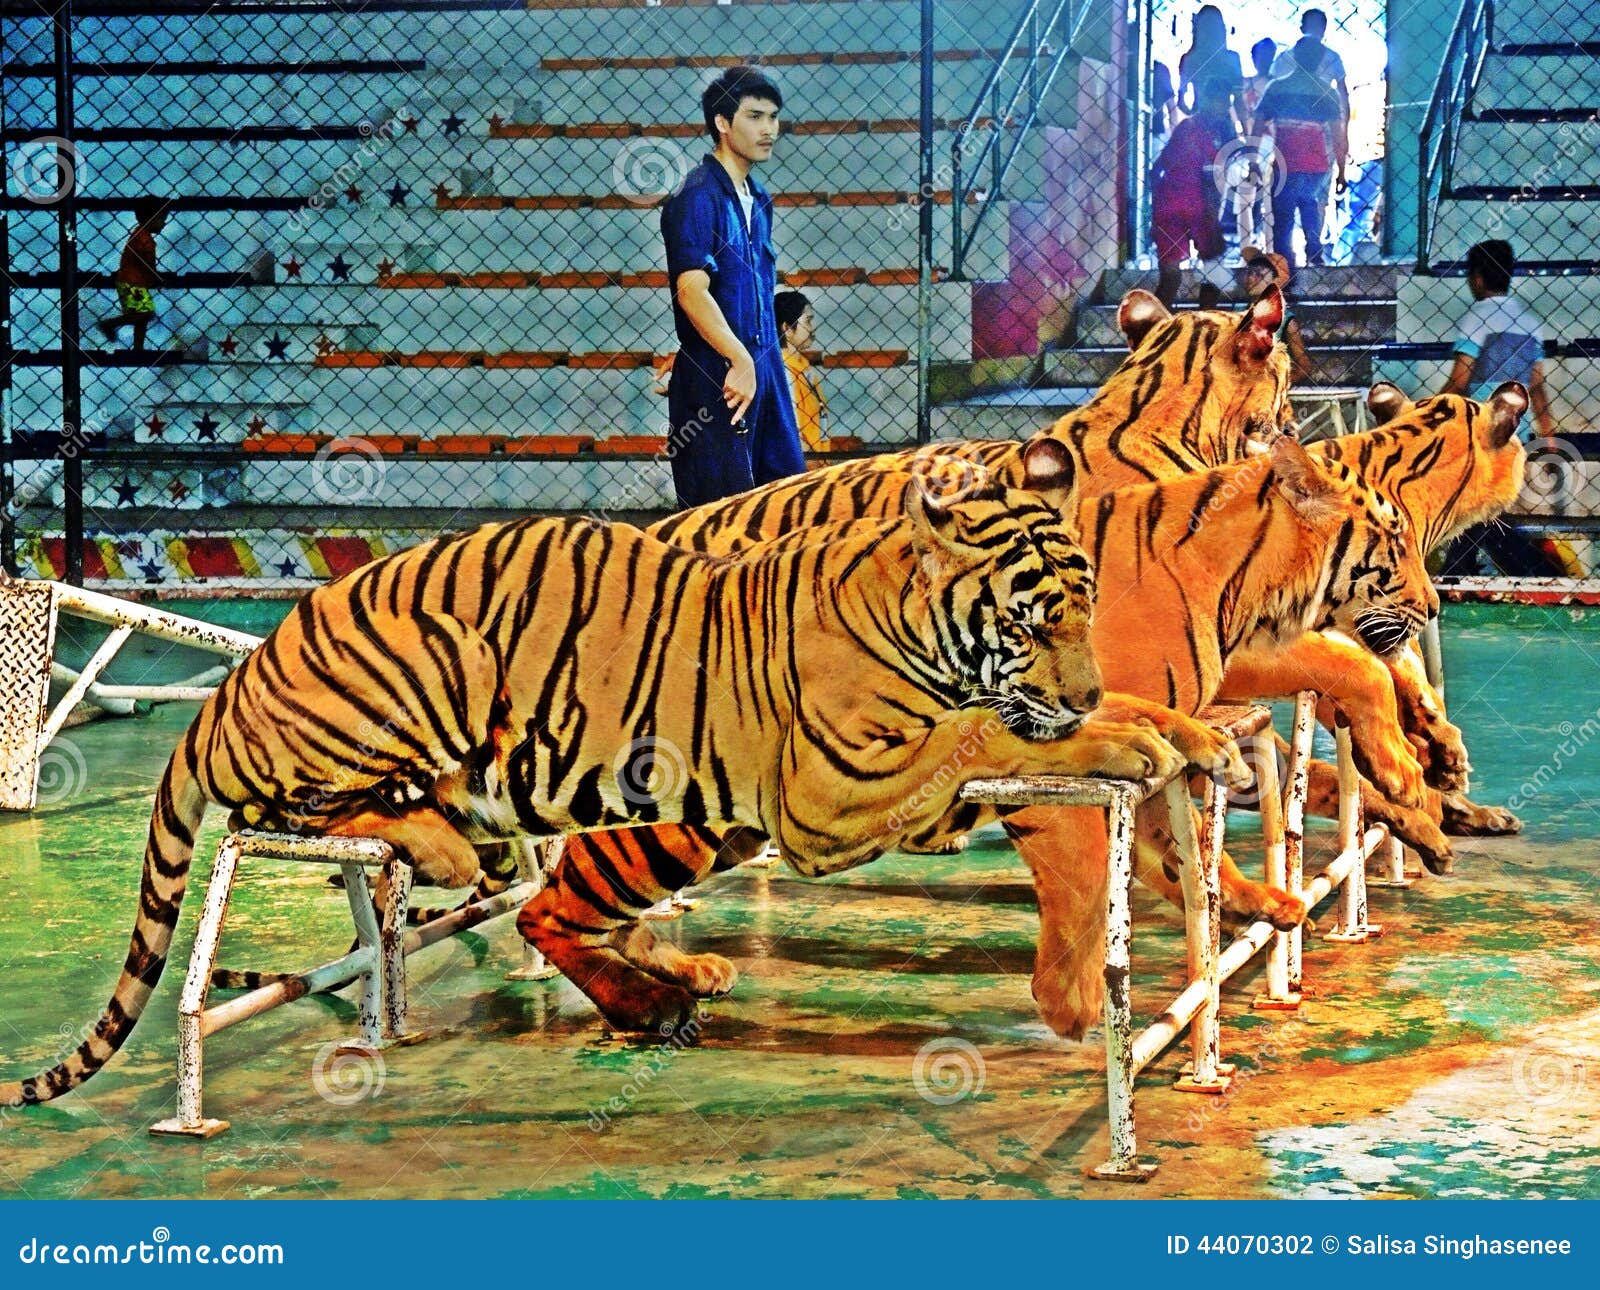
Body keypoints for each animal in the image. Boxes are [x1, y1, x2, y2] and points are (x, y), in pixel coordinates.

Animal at [3, 439, 1248, 1108]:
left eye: (1087, 607)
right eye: (1034, 621)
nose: (1077, 693)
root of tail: (230, 687)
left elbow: (1090, 715)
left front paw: (1186, 731)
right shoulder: (833, 791)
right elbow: (989, 735)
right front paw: (1128, 738)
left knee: (545, 906)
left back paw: (662, 979)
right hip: (429, 665)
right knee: (325, 814)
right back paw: (459, 849)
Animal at [521, 433, 1438, 1033]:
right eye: (1394, 539)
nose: (1434, 604)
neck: (1245, 585)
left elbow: (1186, 845)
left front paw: (1277, 891)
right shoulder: (1048, 752)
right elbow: (1097, 867)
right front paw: (1072, 1002)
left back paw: (683, 970)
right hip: (681, 820)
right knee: (547, 907)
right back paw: (645, 1000)